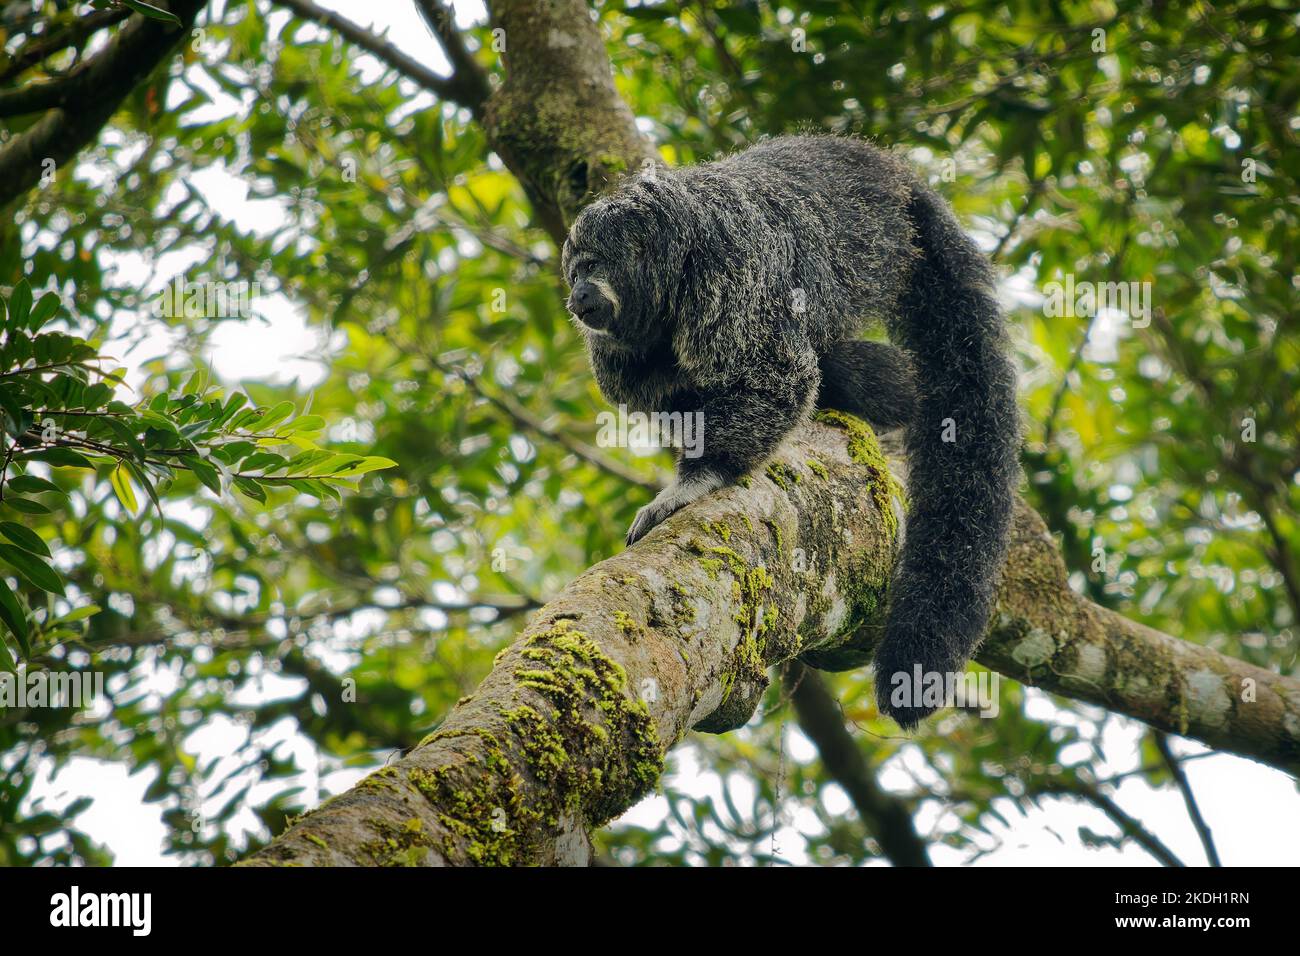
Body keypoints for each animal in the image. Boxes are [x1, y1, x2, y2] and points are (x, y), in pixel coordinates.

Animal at [561, 135, 1021, 728]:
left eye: (590, 267)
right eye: (572, 274)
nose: (577, 296)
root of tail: (883, 164)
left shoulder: (730, 273)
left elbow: (776, 372)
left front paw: (695, 481)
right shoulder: (618, 351)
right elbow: (675, 398)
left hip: (899, 242)